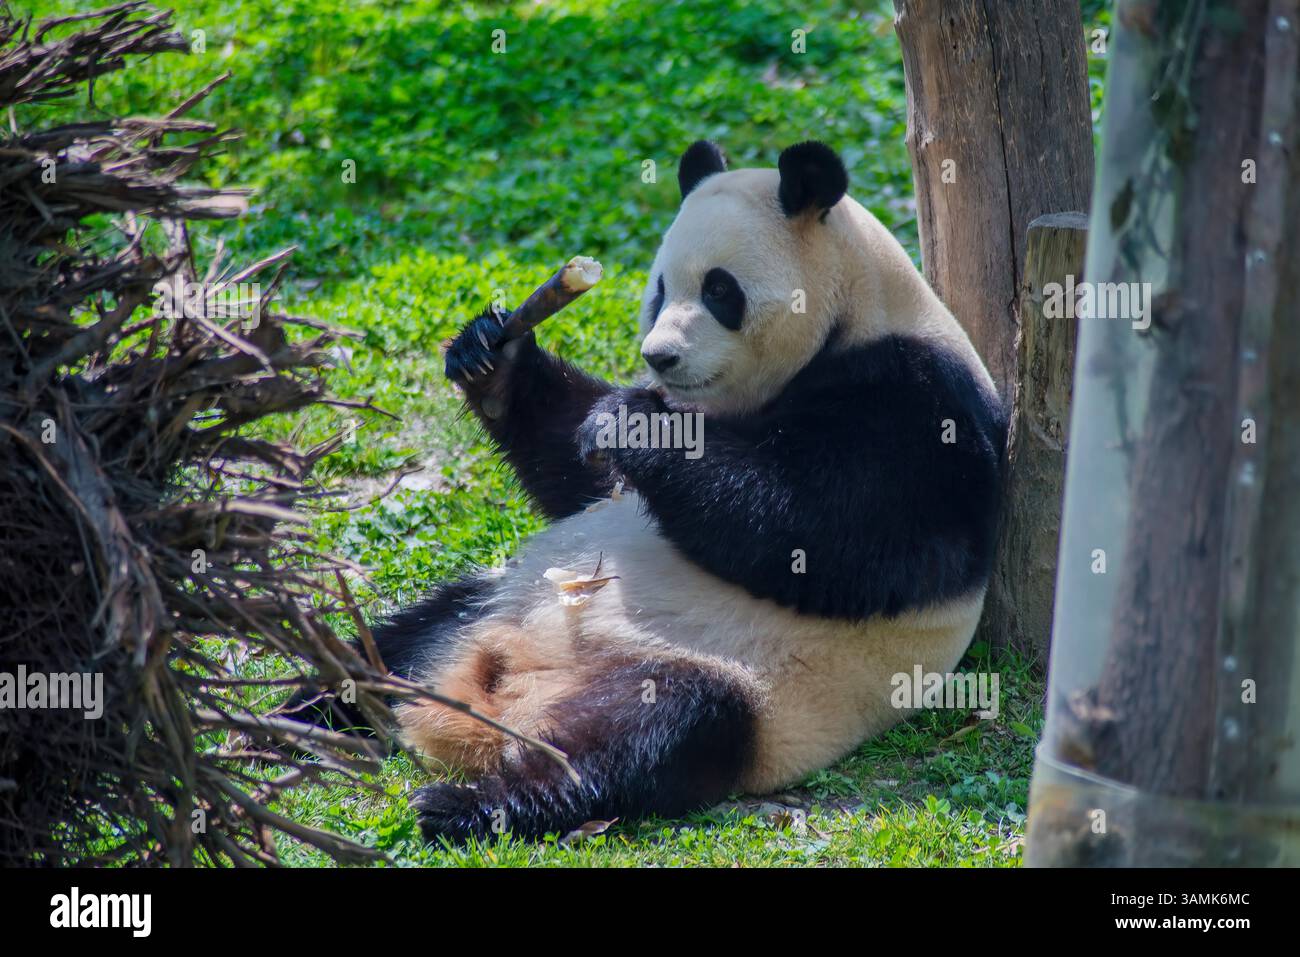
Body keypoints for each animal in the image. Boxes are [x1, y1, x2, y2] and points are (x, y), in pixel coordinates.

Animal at [316, 140, 1006, 843]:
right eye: (660, 288)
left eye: (720, 290)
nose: (660, 356)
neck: (852, 319)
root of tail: (494, 699)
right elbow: (583, 476)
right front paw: (492, 355)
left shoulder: (919, 406)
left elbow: (834, 541)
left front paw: (633, 421)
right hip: (489, 605)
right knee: (393, 643)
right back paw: (312, 712)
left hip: (746, 687)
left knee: (641, 735)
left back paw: (467, 804)